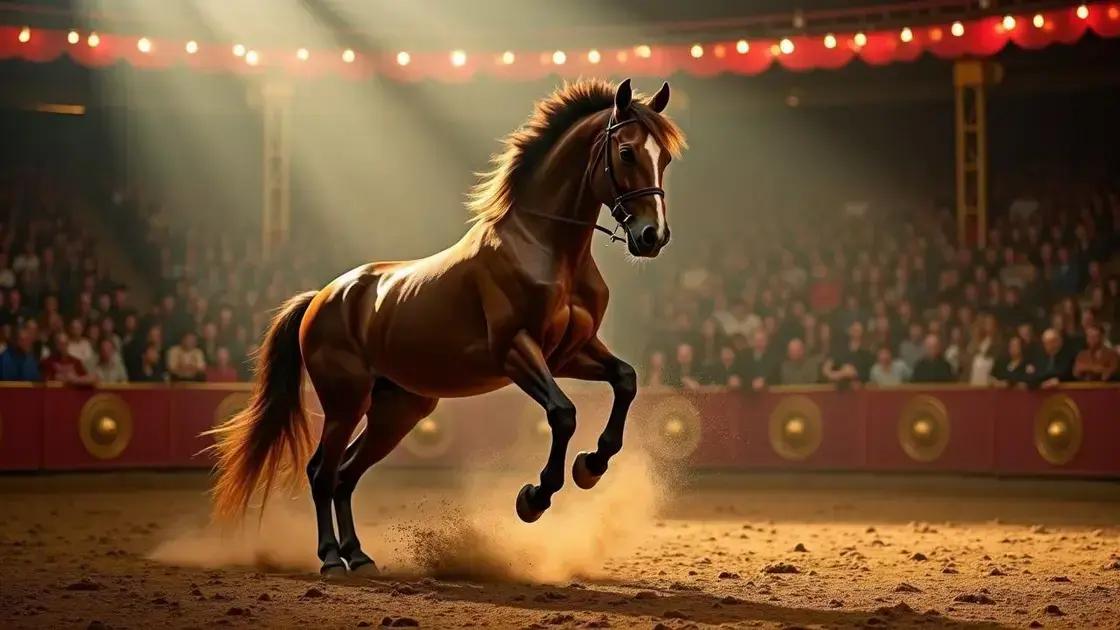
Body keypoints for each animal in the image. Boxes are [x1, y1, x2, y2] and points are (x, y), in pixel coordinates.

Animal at [208, 78, 687, 576]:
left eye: (665, 158)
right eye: (627, 152)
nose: (652, 237)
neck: (543, 249)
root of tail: (321, 297)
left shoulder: (571, 352)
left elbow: (626, 380)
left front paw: (591, 466)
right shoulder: (517, 352)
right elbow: (563, 413)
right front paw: (534, 498)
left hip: (398, 409)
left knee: (345, 474)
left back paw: (358, 555)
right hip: (346, 401)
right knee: (322, 472)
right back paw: (331, 559)